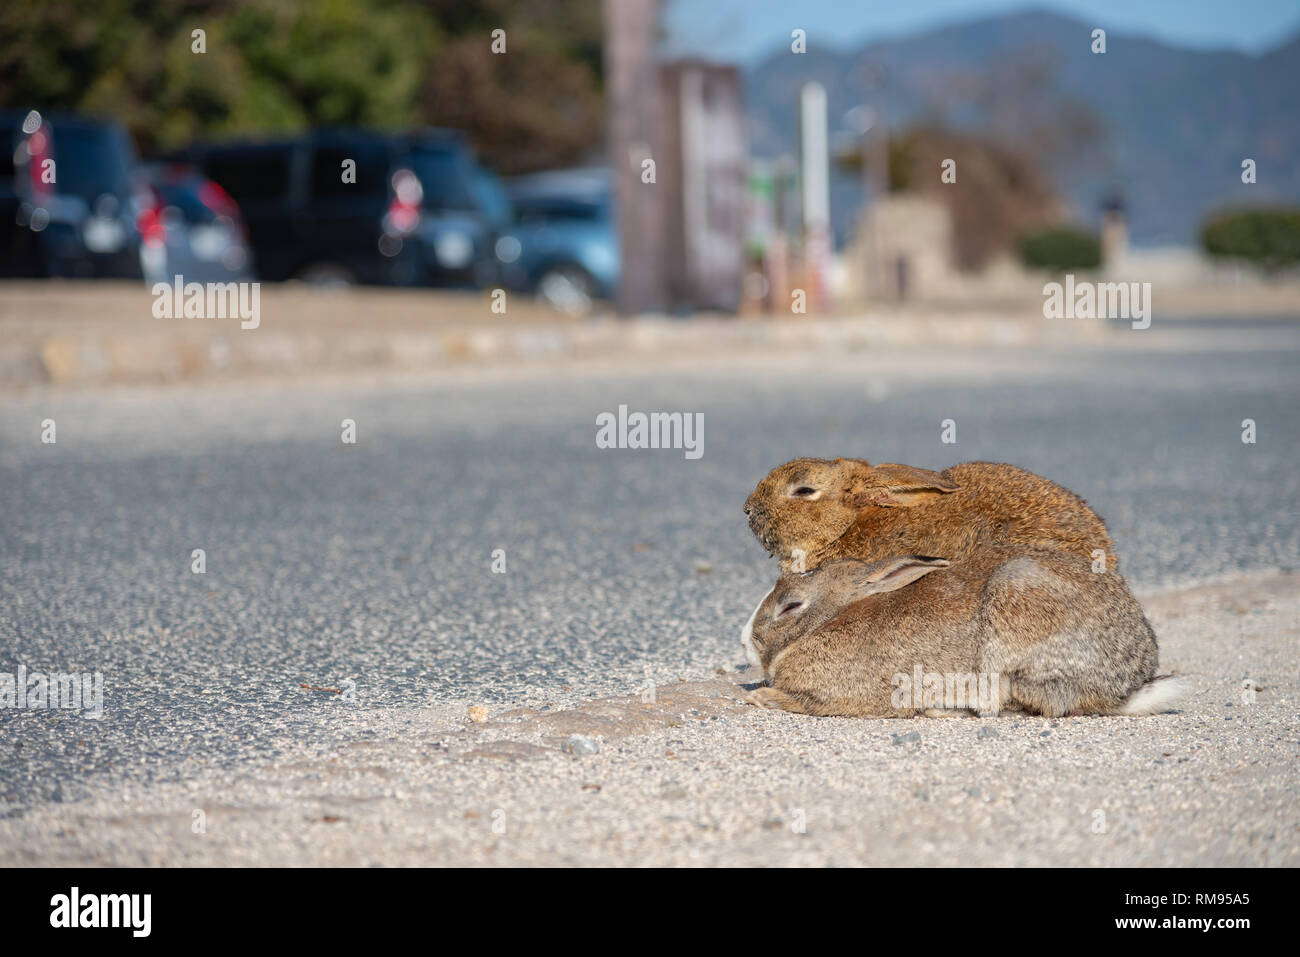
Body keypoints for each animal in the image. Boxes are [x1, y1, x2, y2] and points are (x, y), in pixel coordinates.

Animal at [742, 549, 1182, 719]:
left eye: (791, 605)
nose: (746, 639)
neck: (834, 616)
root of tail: (1129, 680)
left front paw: (761, 698)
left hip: (1012, 628)